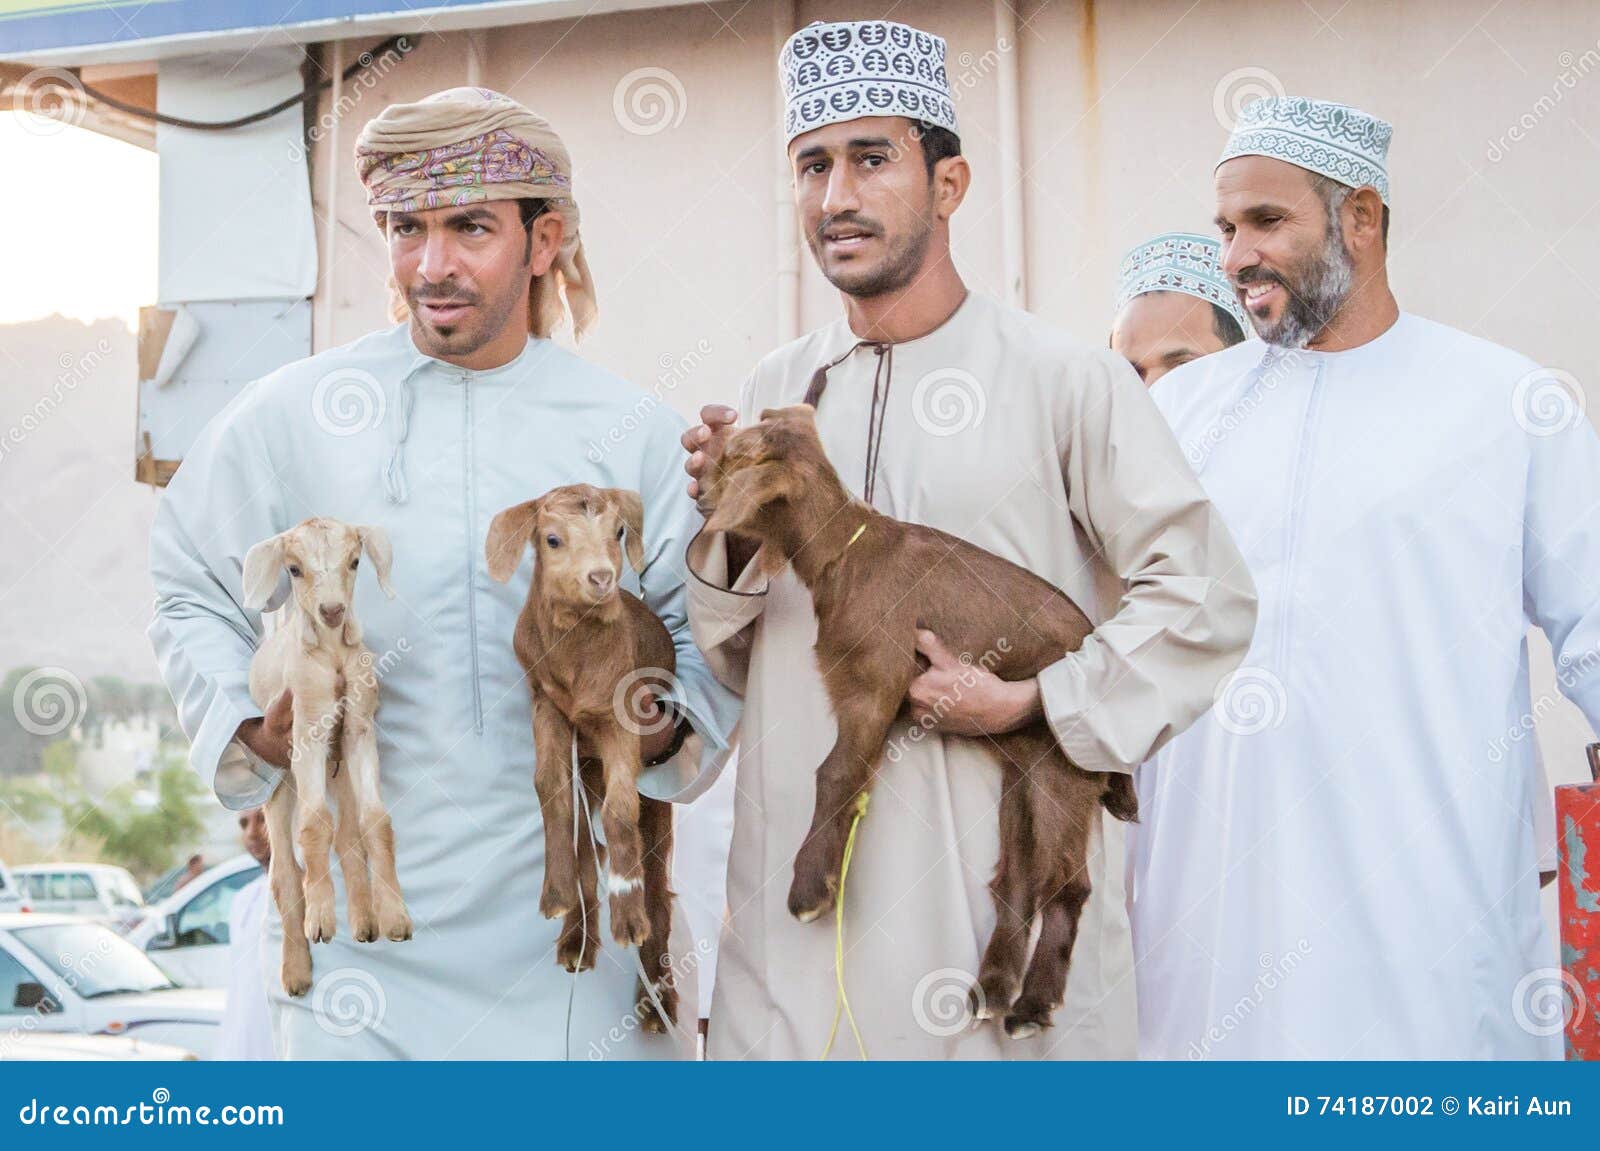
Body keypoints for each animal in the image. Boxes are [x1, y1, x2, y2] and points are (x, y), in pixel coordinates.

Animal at [243, 517, 412, 996]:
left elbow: (376, 821)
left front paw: (395, 916)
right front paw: (320, 920)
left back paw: (364, 922)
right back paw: (297, 970)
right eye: (294, 569)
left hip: (339, 770)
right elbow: (314, 824)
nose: (332, 611)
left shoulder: (357, 730)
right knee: (284, 870)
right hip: (280, 782)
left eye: (355, 561)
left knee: (348, 835)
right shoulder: (307, 730)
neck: (334, 654)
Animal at [487, 484, 679, 1033]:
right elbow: (550, 792)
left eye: (619, 531)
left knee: (657, 877)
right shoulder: (548, 707)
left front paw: (628, 917)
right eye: (552, 539)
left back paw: (655, 997)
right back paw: (577, 938)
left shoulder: (623, 720)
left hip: (657, 795)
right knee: (586, 843)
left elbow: (620, 813)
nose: (601, 577)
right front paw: (555, 897)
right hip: (587, 767)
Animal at [697, 405, 1139, 1038]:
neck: (848, 550)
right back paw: (993, 989)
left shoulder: (874, 682)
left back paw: (1032, 1005)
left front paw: (810, 890)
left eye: (735, 460)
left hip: (1064, 772)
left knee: (1067, 886)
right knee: (1019, 879)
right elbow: (851, 776)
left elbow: (834, 772)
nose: (703, 496)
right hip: (1023, 769)